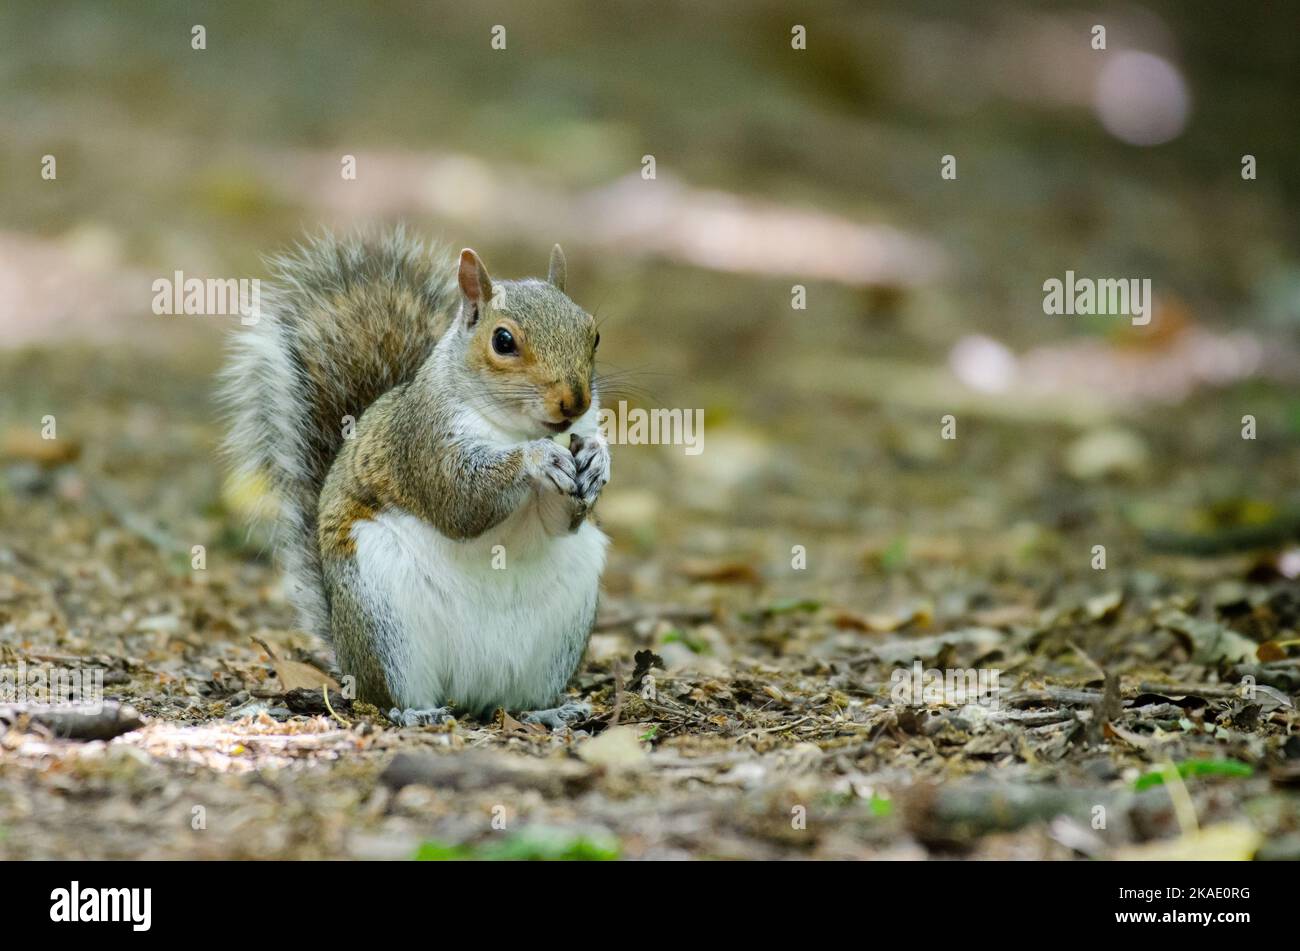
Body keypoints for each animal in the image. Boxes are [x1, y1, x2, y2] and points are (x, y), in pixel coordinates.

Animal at [221, 228, 610, 729]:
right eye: (503, 340)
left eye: (593, 333)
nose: (575, 402)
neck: (514, 427)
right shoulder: (422, 442)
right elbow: (459, 502)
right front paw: (536, 457)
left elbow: (563, 519)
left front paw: (598, 460)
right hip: (383, 619)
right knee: (388, 696)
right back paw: (416, 714)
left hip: (559, 636)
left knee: (518, 700)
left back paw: (551, 711)